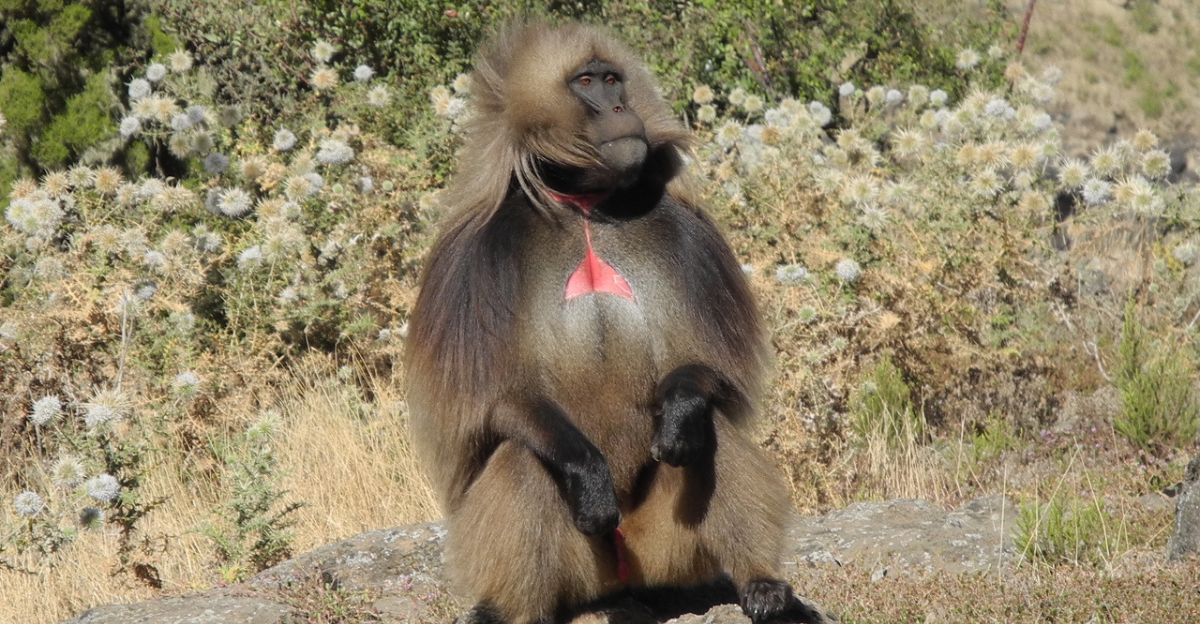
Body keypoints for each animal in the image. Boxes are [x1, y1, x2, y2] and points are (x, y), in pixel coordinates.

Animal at [406, 21, 817, 624]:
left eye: (613, 79)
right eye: (586, 82)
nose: (622, 106)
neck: (583, 207)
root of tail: (622, 582)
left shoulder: (683, 233)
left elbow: (708, 372)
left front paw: (677, 412)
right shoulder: (475, 260)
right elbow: (499, 400)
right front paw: (588, 474)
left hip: (662, 548)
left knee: (710, 429)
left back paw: (766, 589)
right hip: (583, 569)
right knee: (522, 457)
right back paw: (503, 609)